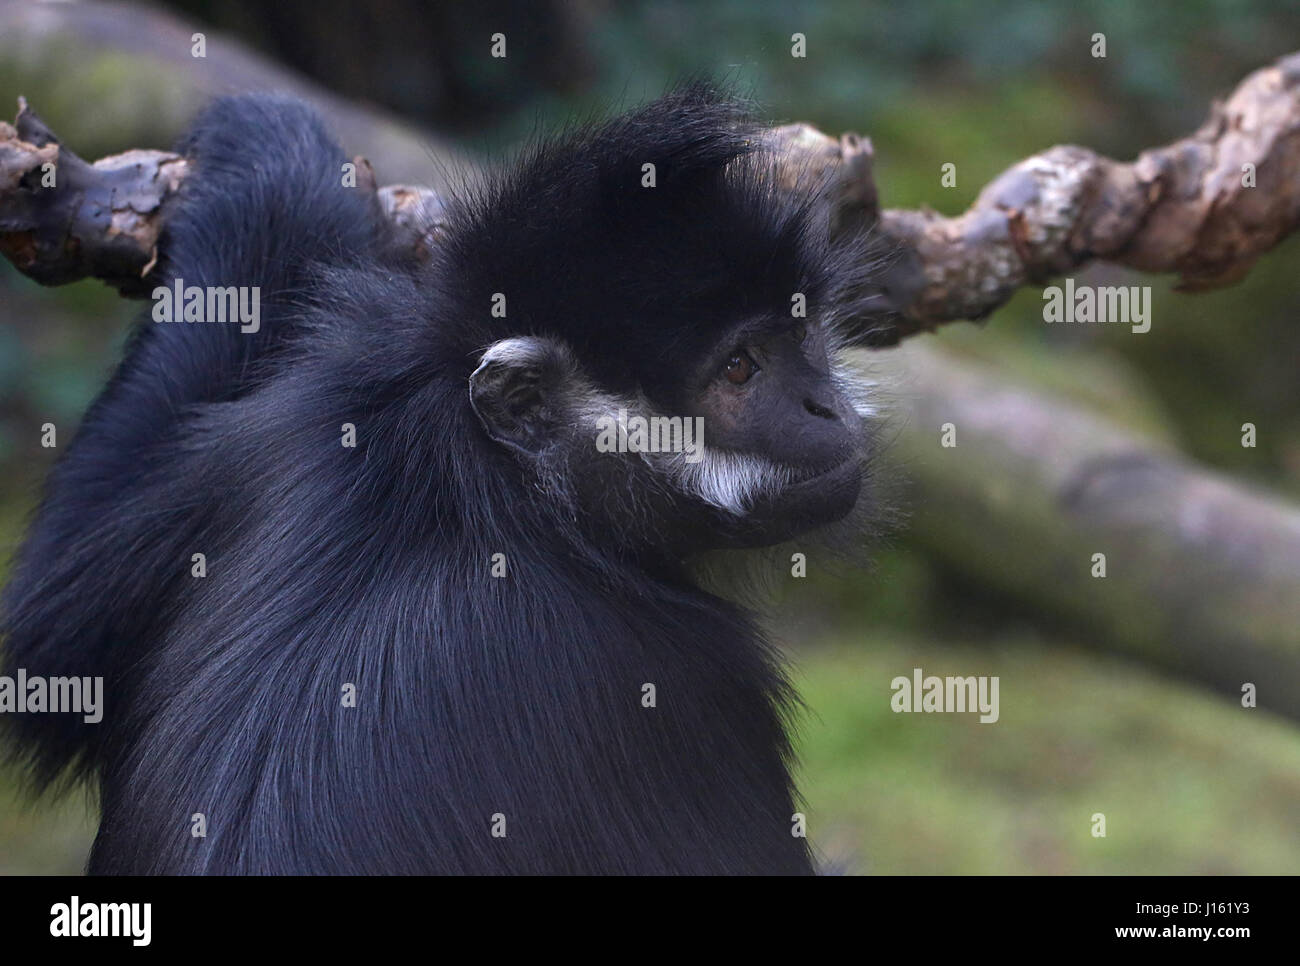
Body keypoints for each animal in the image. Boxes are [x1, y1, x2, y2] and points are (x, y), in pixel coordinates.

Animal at [0, 84, 883, 874]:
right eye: (739, 369)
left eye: (799, 331)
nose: (825, 406)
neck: (481, 489)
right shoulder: (681, 676)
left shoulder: (313, 416)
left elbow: (46, 654)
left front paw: (269, 157)